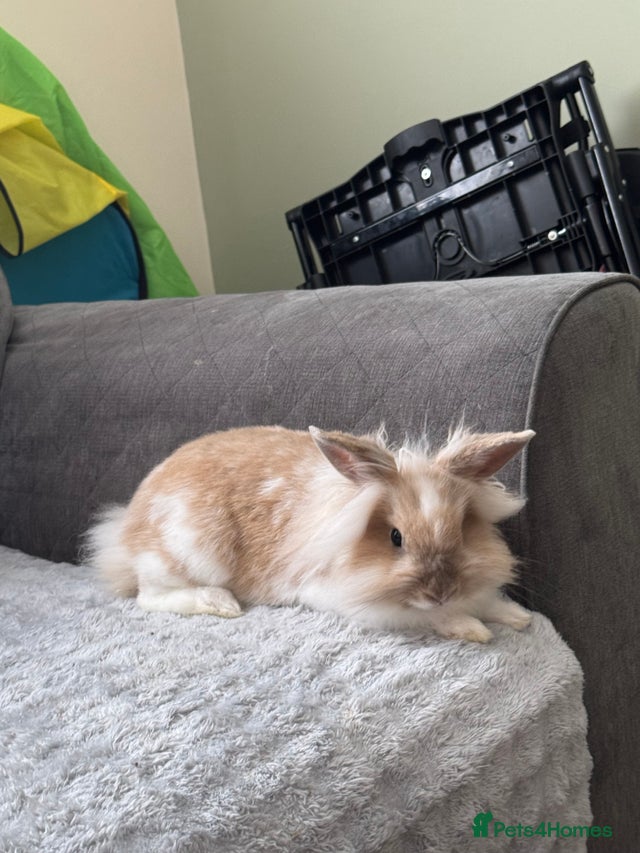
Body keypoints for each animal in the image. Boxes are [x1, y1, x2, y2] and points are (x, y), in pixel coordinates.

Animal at [84, 424, 535, 643]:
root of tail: (125, 532)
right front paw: (469, 627)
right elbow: (422, 617)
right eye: (395, 537)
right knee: (148, 596)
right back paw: (221, 603)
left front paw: (517, 616)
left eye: (462, 529)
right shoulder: (341, 596)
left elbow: (486, 600)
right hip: (190, 554)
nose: (440, 591)